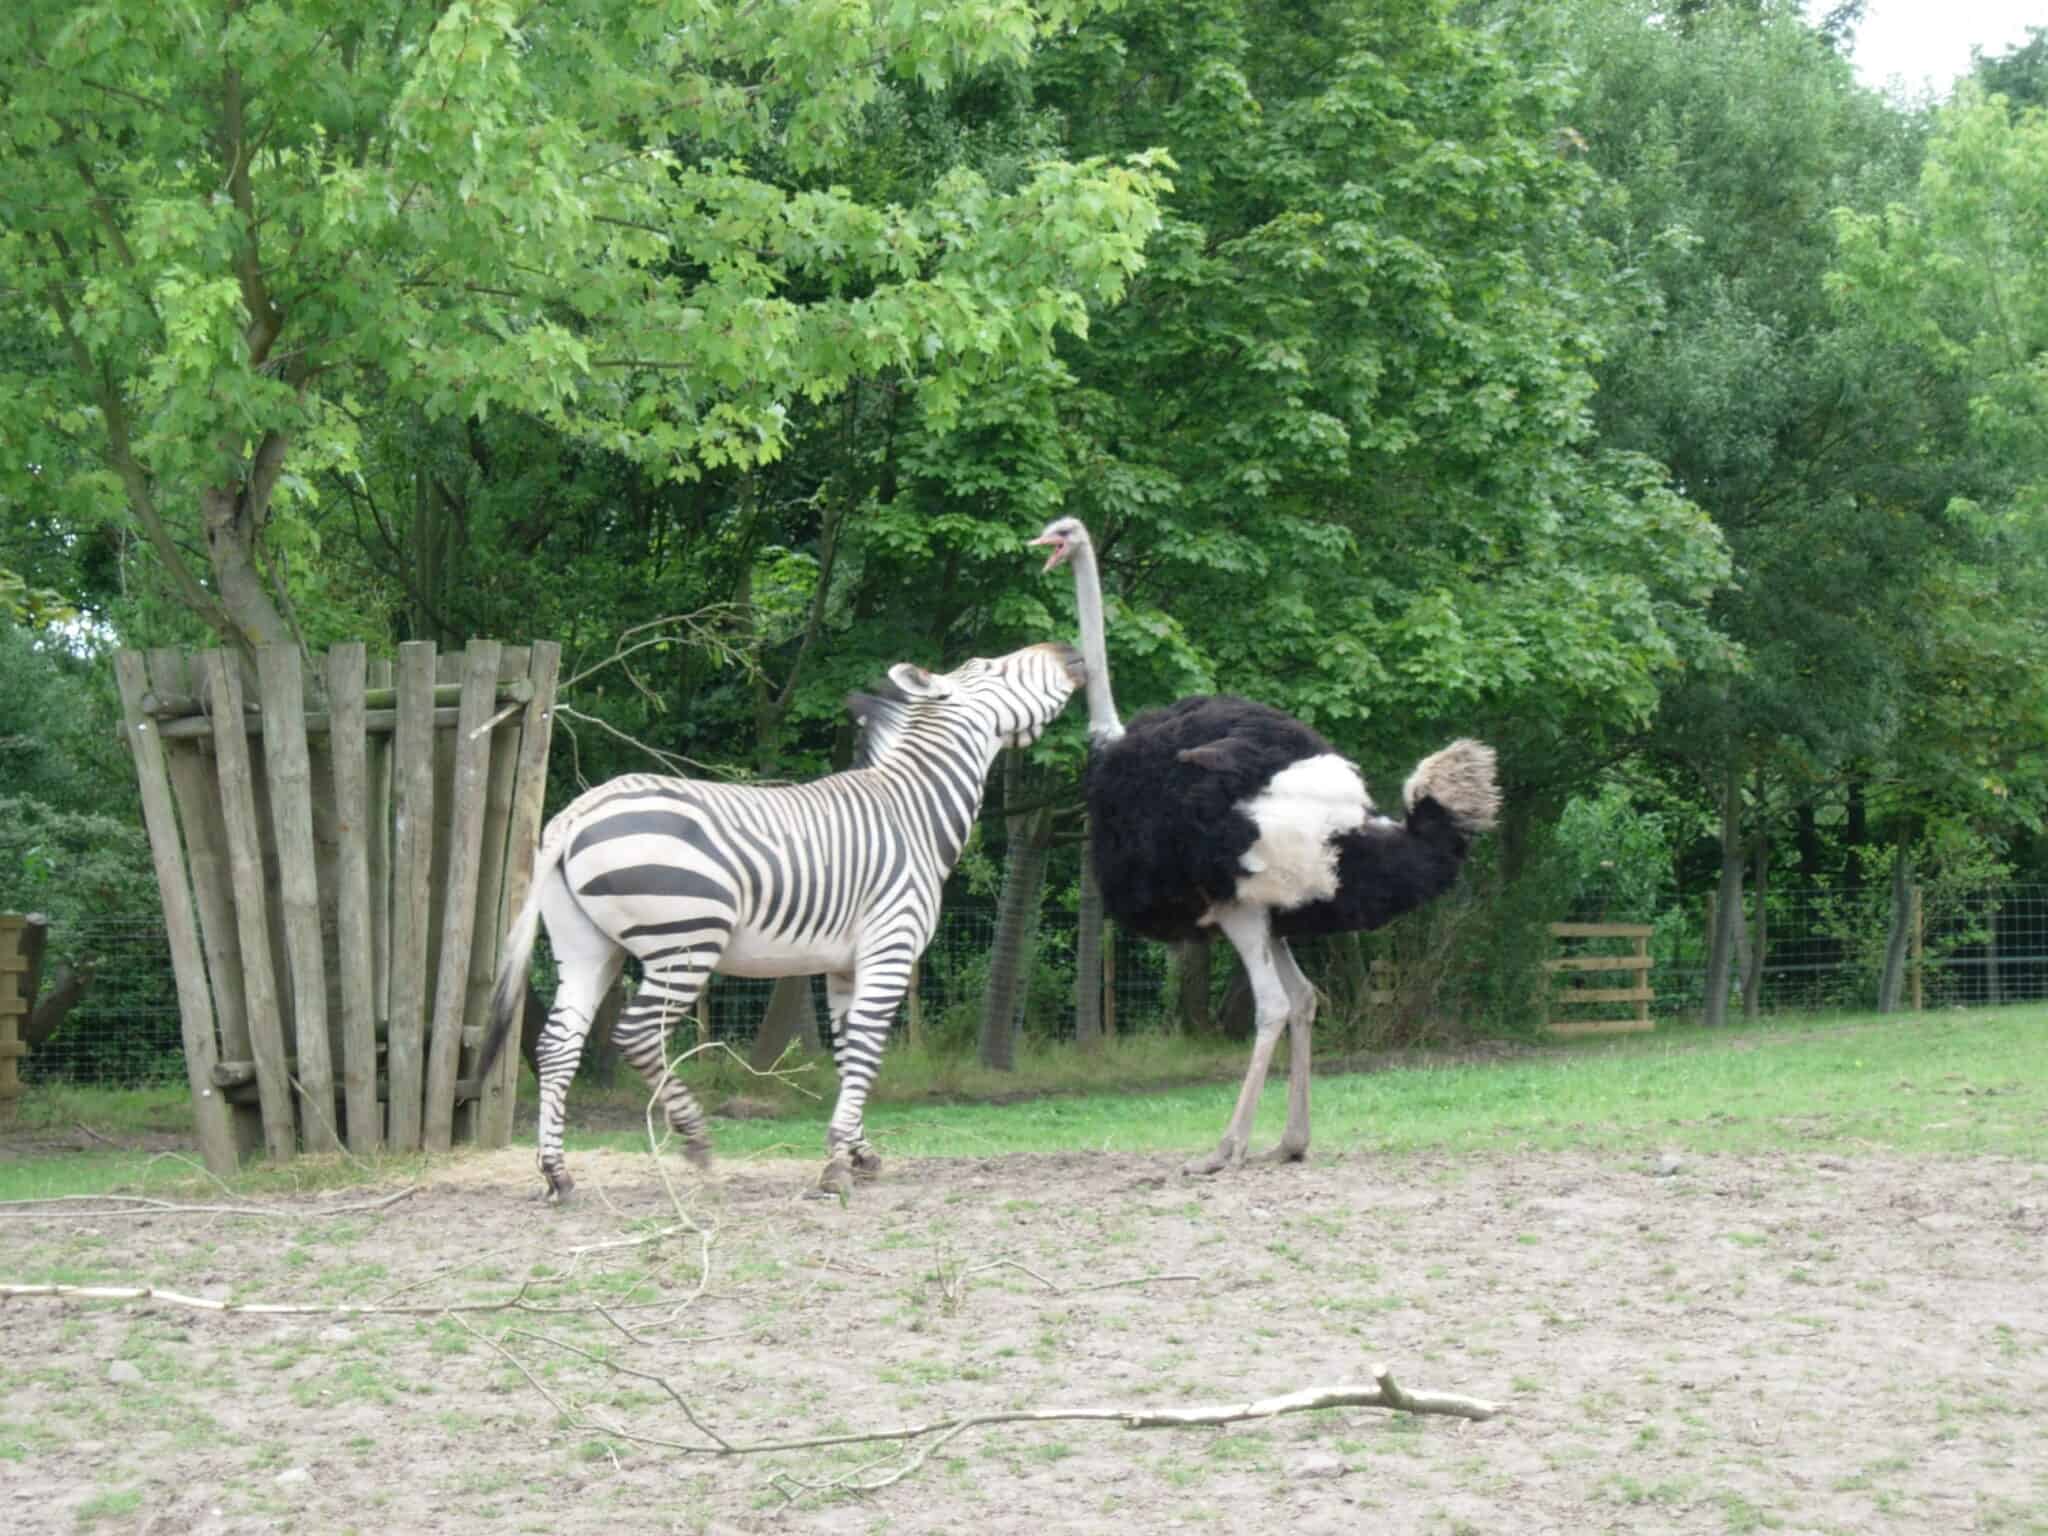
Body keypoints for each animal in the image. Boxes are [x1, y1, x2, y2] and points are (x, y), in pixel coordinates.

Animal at [479, 641, 1084, 1201]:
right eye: (993, 668)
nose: (1072, 652)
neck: (913, 814)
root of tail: (580, 810)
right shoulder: (891, 946)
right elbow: (868, 1046)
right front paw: (836, 1165)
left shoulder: (845, 966)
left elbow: (847, 1049)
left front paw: (857, 1151)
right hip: (686, 942)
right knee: (637, 1033)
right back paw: (695, 1139)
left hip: (588, 948)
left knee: (557, 1045)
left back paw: (558, 1173)